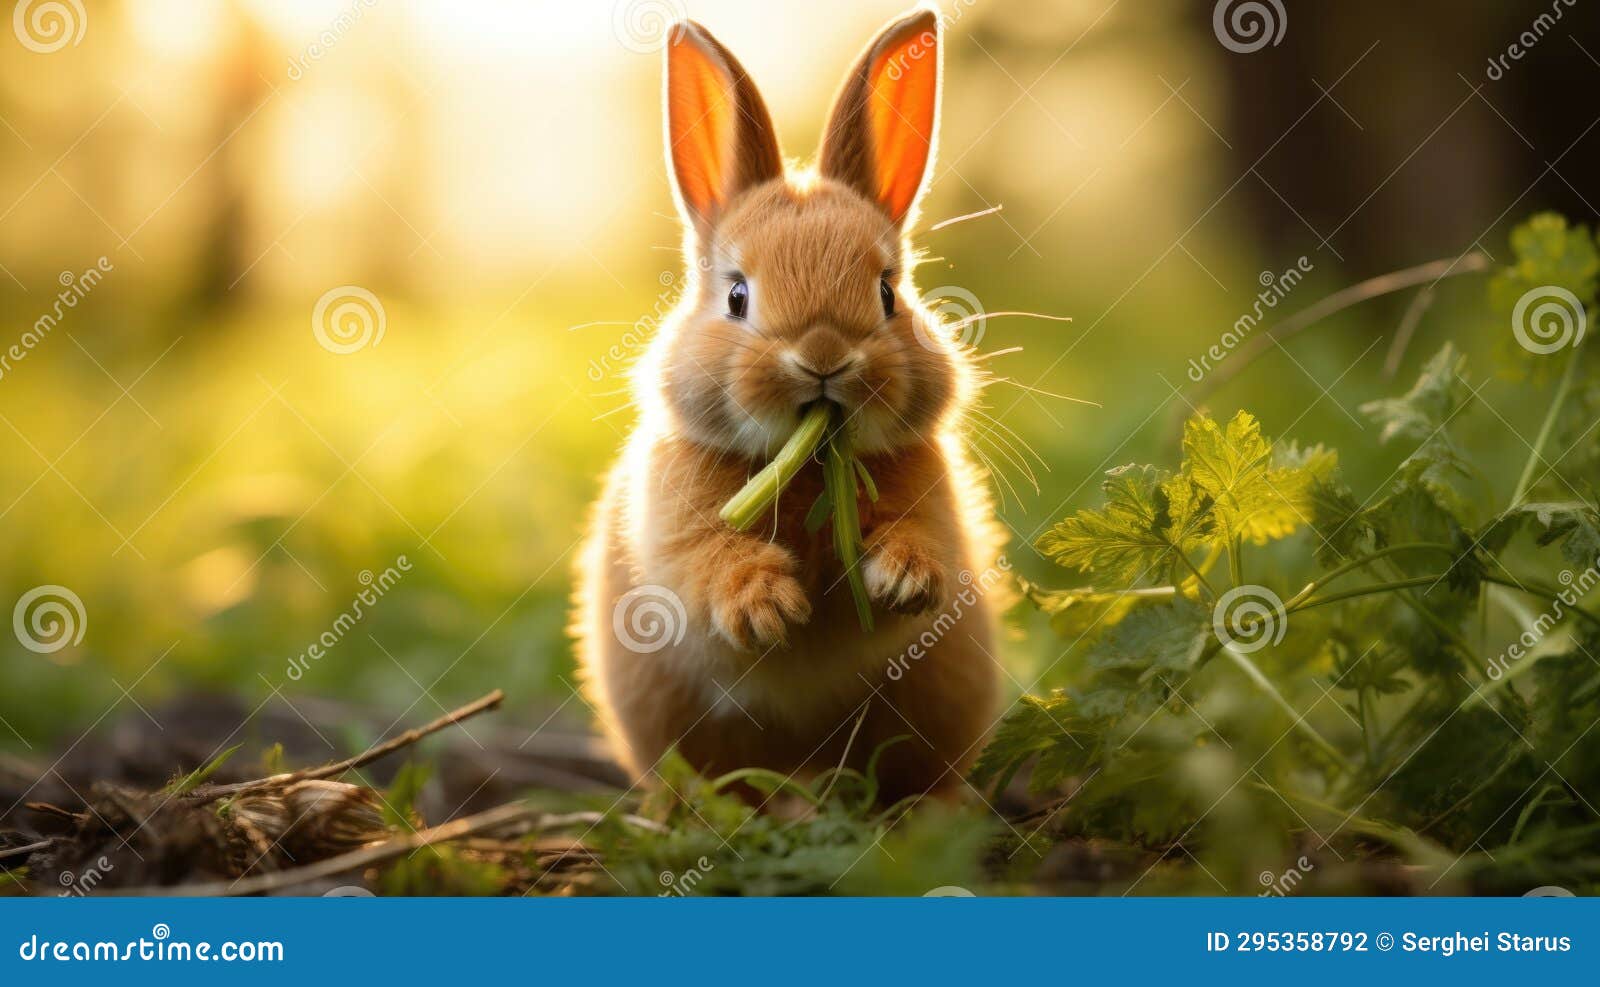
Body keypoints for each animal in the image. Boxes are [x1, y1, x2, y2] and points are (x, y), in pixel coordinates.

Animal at [573, 8, 1004, 806]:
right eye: (738, 296)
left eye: (888, 292)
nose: (824, 357)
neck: (806, 465)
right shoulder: (677, 536)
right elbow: (708, 561)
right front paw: (766, 607)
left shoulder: (932, 503)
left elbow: (918, 538)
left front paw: (904, 580)